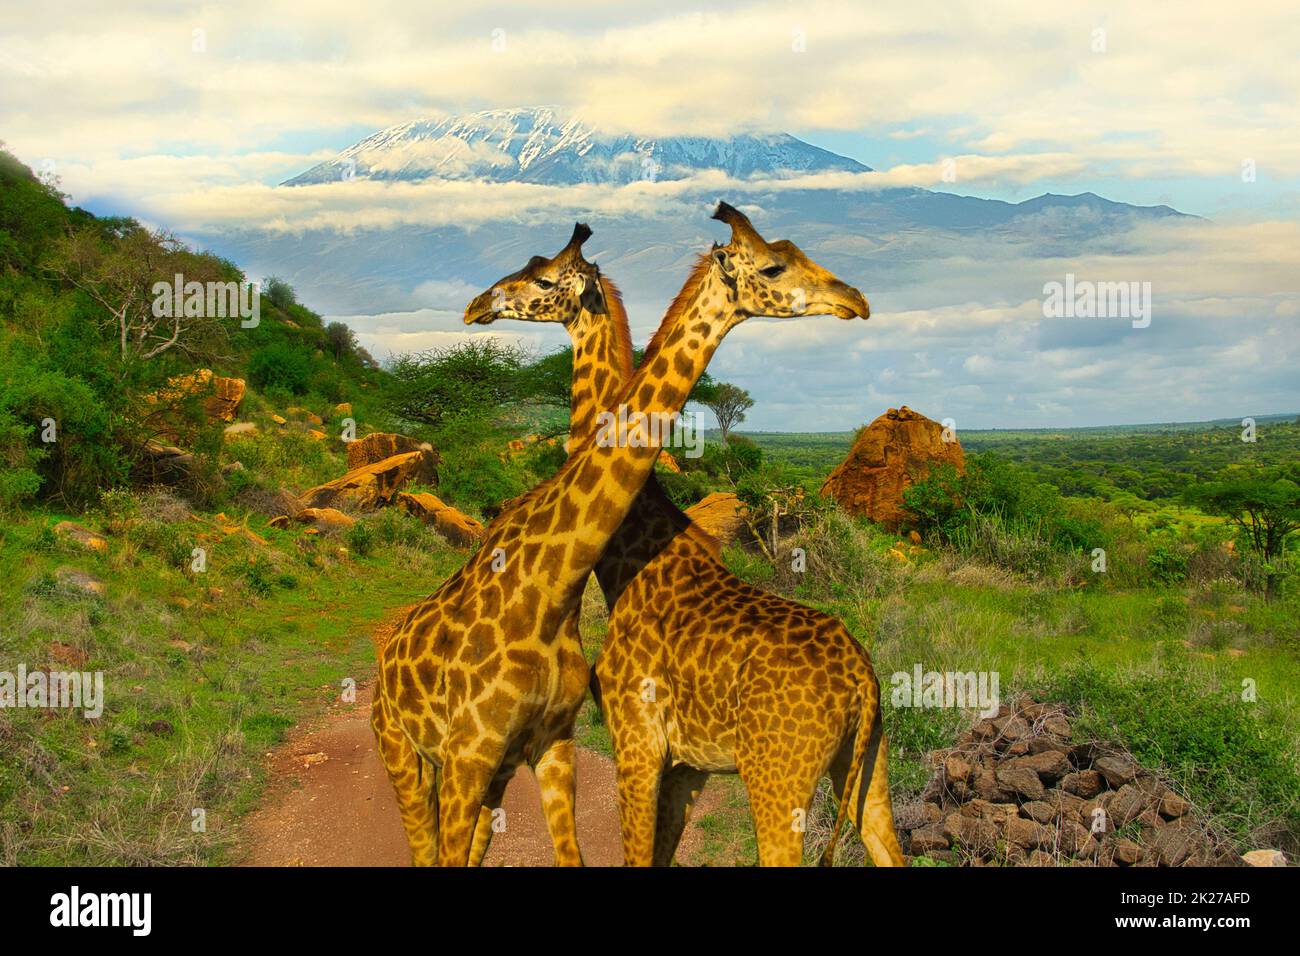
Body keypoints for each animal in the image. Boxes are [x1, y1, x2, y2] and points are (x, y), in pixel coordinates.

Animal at [373, 204, 869, 867]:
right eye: (774, 264)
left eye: (541, 278)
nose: (477, 304)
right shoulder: (487, 751)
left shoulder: (570, 742)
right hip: (409, 751)